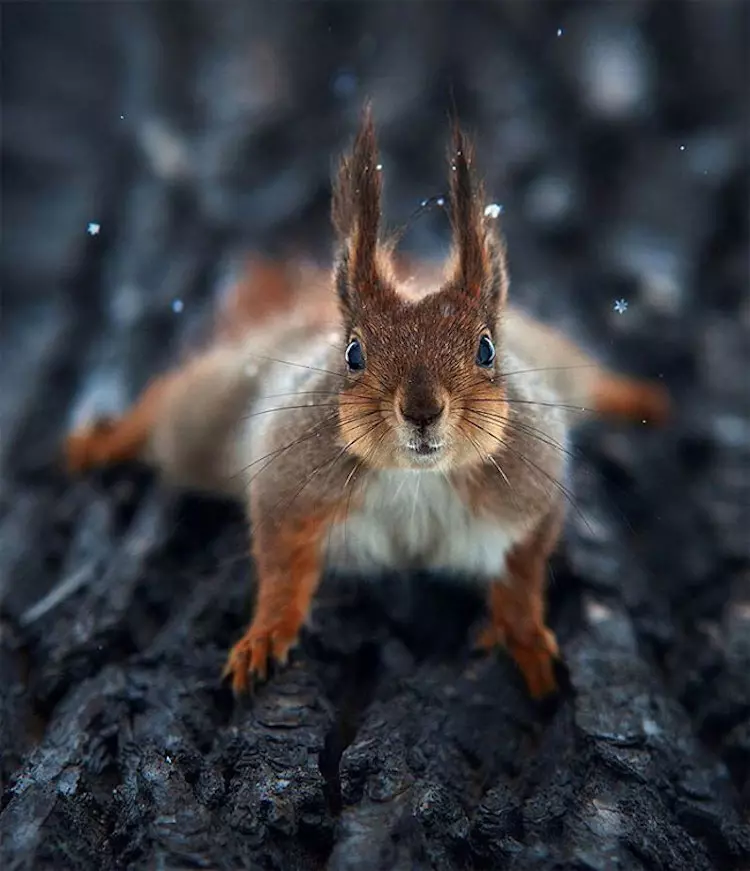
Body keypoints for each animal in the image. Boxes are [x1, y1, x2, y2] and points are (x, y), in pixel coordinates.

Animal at [64, 104, 668, 700]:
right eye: (354, 353)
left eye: (486, 348)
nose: (421, 411)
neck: (418, 480)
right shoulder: (289, 481)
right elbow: (281, 567)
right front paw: (265, 634)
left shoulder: (531, 492)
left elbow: (522, 573)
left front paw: (524, 639)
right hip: (211, 414)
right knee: (169, 403)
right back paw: (104, 440)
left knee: (591, 378)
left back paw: (641, 397)